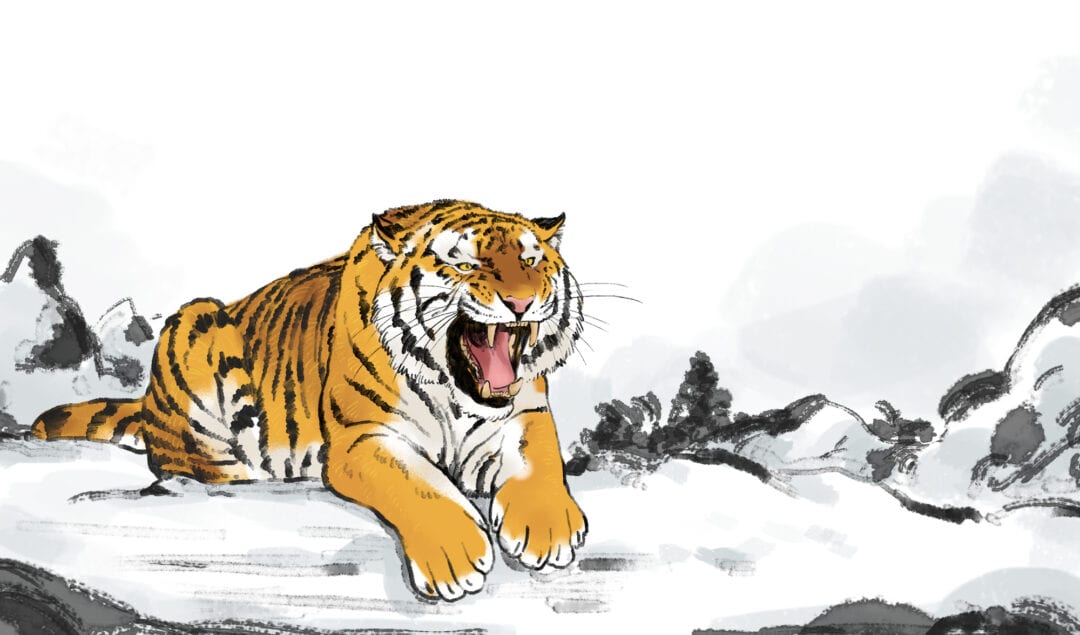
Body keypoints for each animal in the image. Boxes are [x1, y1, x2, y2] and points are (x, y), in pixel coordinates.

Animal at [31, 199, 588, 601]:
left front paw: (547, 530)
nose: (521, 302)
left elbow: (538, 460)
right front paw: (457, 556)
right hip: (195, 323)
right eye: (465, 264)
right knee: (194, 466)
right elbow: (418, 484)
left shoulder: (524, 413)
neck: (454, 390)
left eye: (531, 260)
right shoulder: (363, 439)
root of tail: (145, 402)